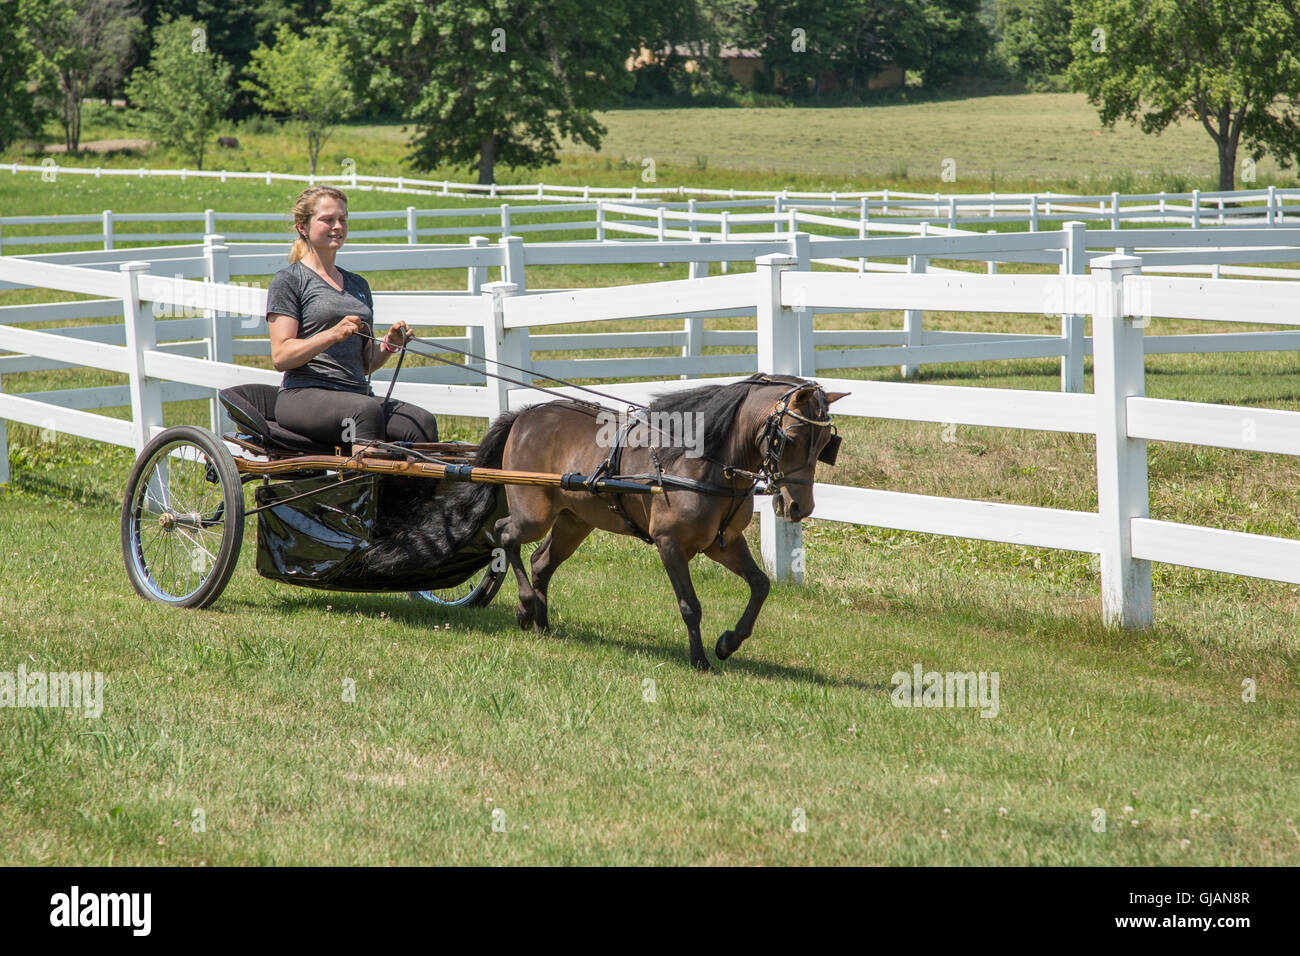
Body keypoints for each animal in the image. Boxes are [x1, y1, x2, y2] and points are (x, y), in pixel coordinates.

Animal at [471, 373, 847, 670]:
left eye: (825, 444)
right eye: (790, 439)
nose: (799, 507)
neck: (700, 462)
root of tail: (525, 415)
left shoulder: (723, 543)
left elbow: (760, 585)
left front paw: (729, 642)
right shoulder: (670, 544)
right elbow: (690, 604)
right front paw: (700, 660)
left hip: (574, 521)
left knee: (541, 562)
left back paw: (541, 623)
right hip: (533, 514)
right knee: (505, 534)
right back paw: (526, 607)